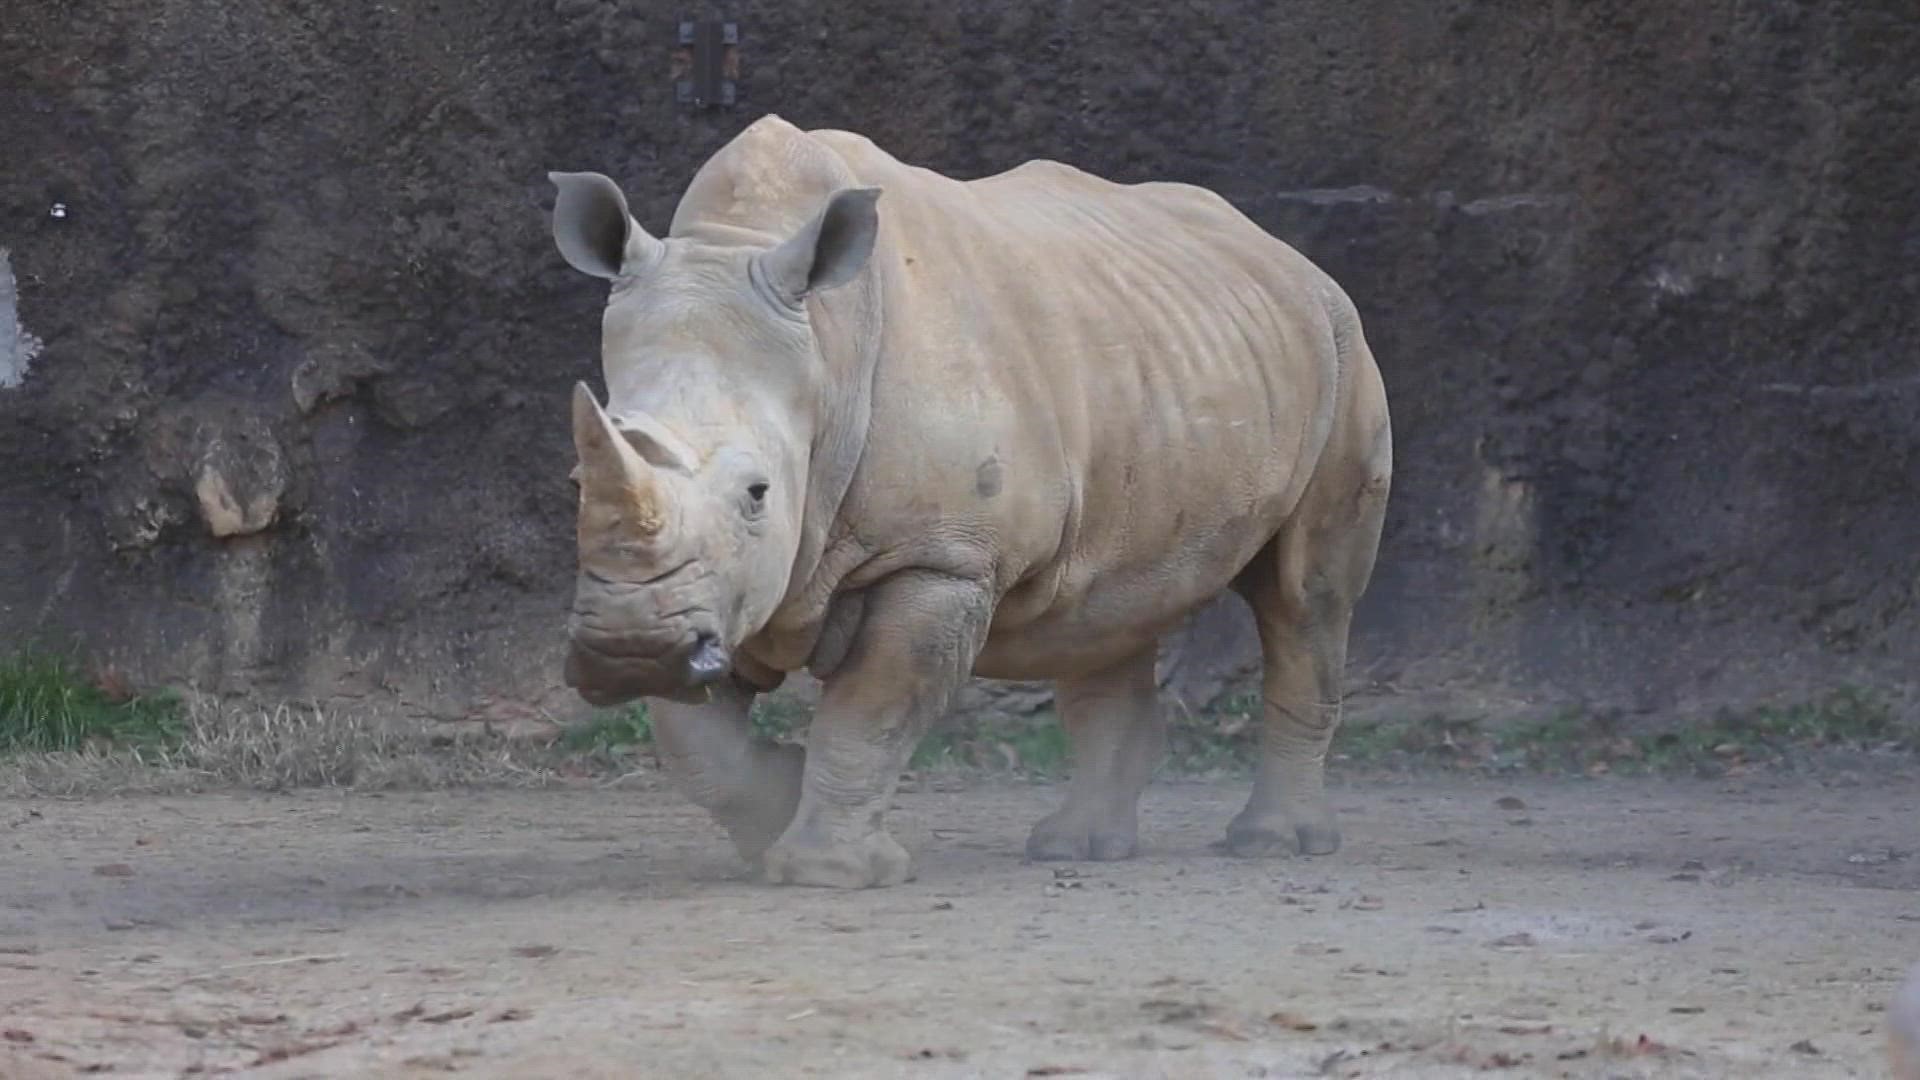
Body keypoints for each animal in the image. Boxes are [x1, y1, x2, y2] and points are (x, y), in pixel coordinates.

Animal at [545, 114, 1391, 889]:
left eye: (757, 494)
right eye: (579, 484)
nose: (626, 647)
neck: (821, 351)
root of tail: (1282, 251)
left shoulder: (941, 557)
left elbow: (872, 709)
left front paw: (830, 871)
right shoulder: (715, 593)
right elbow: (691, 738)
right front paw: (774, 806)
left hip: (1344, 346)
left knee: (1305, 599)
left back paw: (1273, 844)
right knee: (1104, 611)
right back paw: (1078, 847)